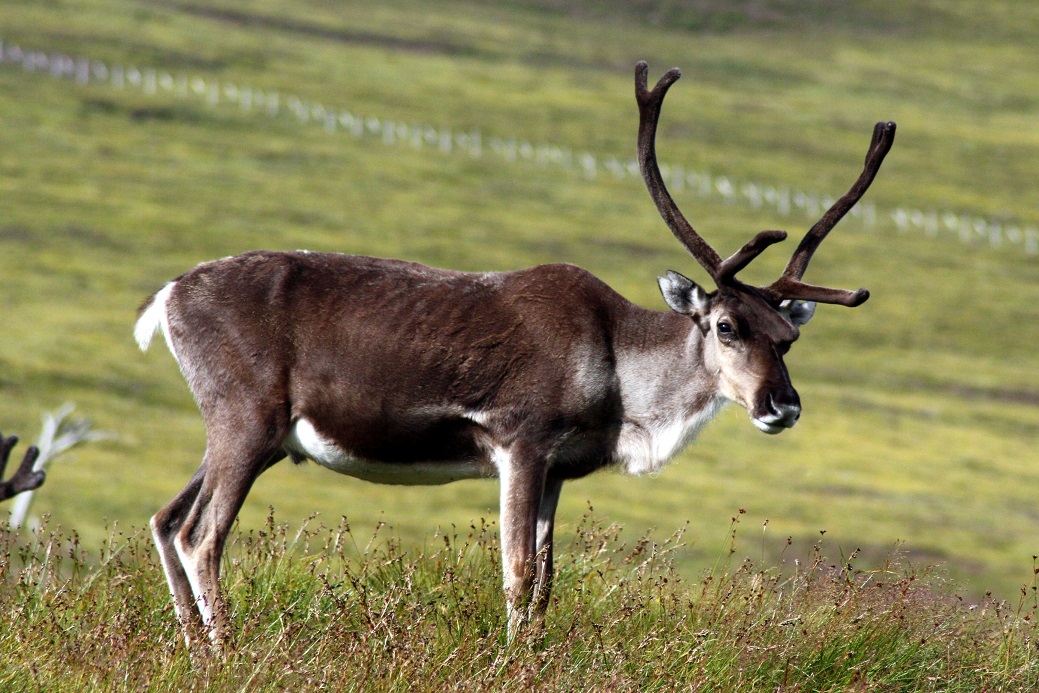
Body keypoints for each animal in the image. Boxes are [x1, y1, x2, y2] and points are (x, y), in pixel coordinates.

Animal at [135, 61, 895, 651]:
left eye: (788, 338)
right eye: (727, 325)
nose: (782, 404)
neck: (622, 381)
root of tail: (165, 297)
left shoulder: (559, 468)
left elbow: (548, 580)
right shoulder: (520, 441)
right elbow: (518, 571)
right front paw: (511, 661)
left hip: (249, 433)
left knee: (167, 518)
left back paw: (195, 649)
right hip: (246, 416)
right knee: (202, 534)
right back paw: (228, 652)